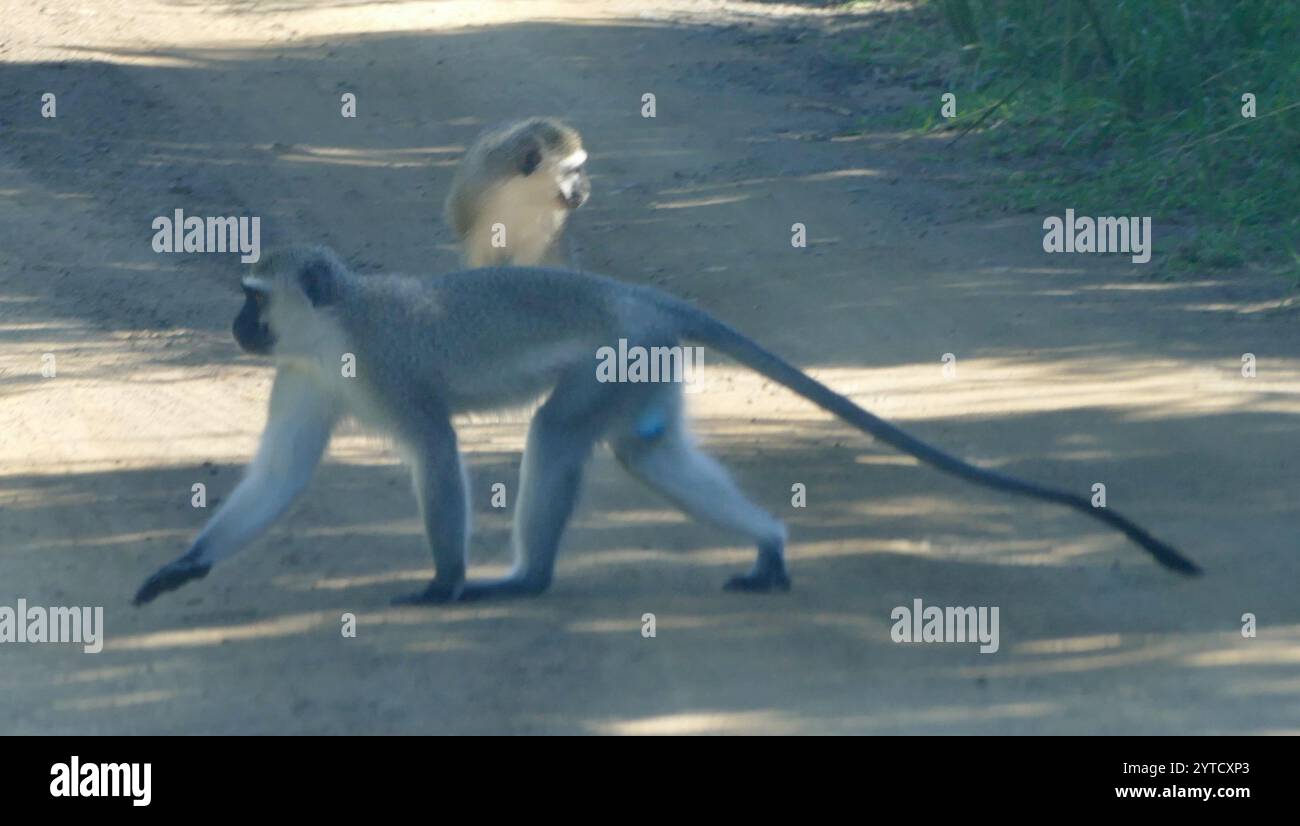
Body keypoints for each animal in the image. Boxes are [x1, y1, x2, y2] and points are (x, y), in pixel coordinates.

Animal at [133, 246, 1199, 607]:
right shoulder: (304, 376)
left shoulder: (387, 372)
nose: (236, 327)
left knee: (559, 440)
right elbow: (281, 476)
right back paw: (768, 548)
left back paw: (521, 580)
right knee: (643, 452)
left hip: (619, 352)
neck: (338, 323)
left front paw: (442, 581)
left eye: (252, 298)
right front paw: (184, 566)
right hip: (643, 372)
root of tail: (643, 296)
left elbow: (435, 450)